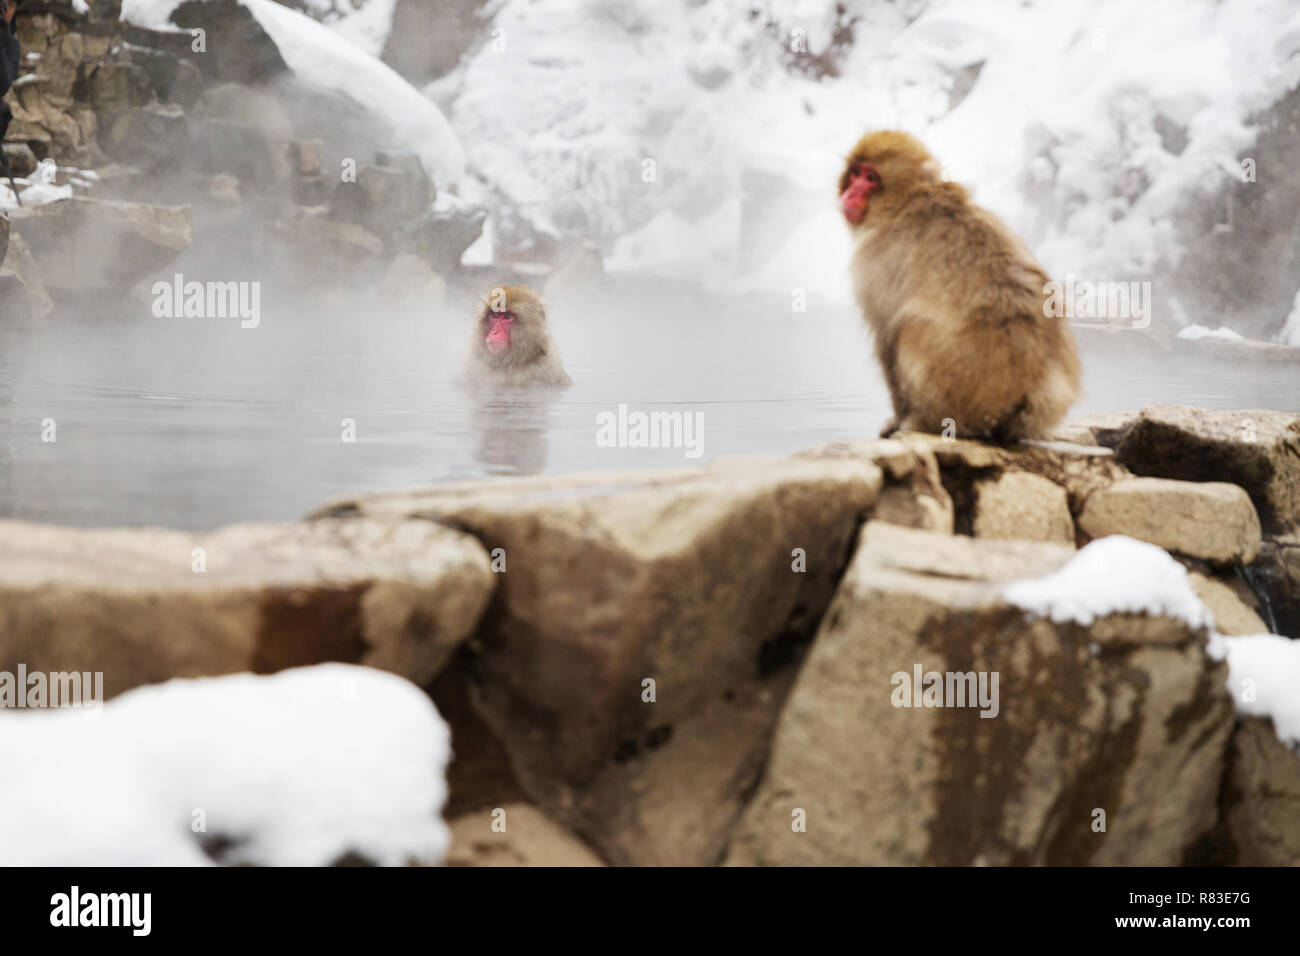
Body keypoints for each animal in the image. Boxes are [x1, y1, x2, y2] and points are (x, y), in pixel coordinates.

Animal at [838, 130, 1080, 441]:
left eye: (870, 178)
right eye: (855, 173)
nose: (850, 193)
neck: (908, 201)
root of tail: (1027, 389)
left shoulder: (875, 259)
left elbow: (887, 336)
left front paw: (896, 420)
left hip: (956, 394)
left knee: (911, 328)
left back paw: (921, 421)